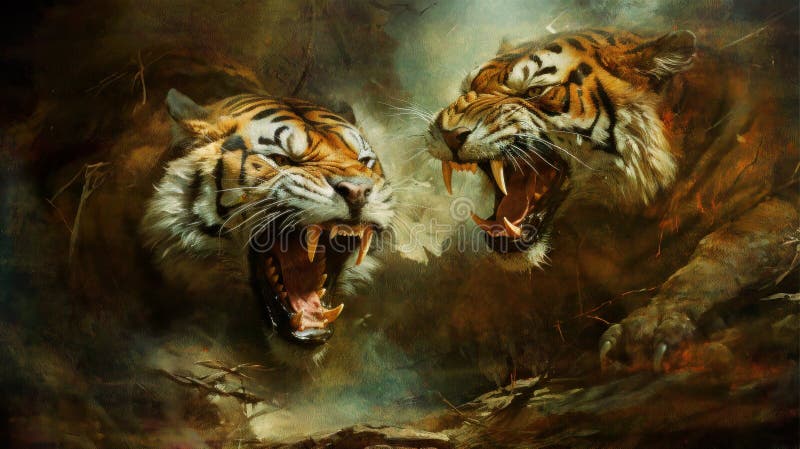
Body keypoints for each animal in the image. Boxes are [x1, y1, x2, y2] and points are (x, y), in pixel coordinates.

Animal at [426, 28, 798, 370]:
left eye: (534, 91)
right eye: (467, 90)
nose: (448, 132)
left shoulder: (783, 204)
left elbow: (726, 247)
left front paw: (648, 328)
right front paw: (479, 324)